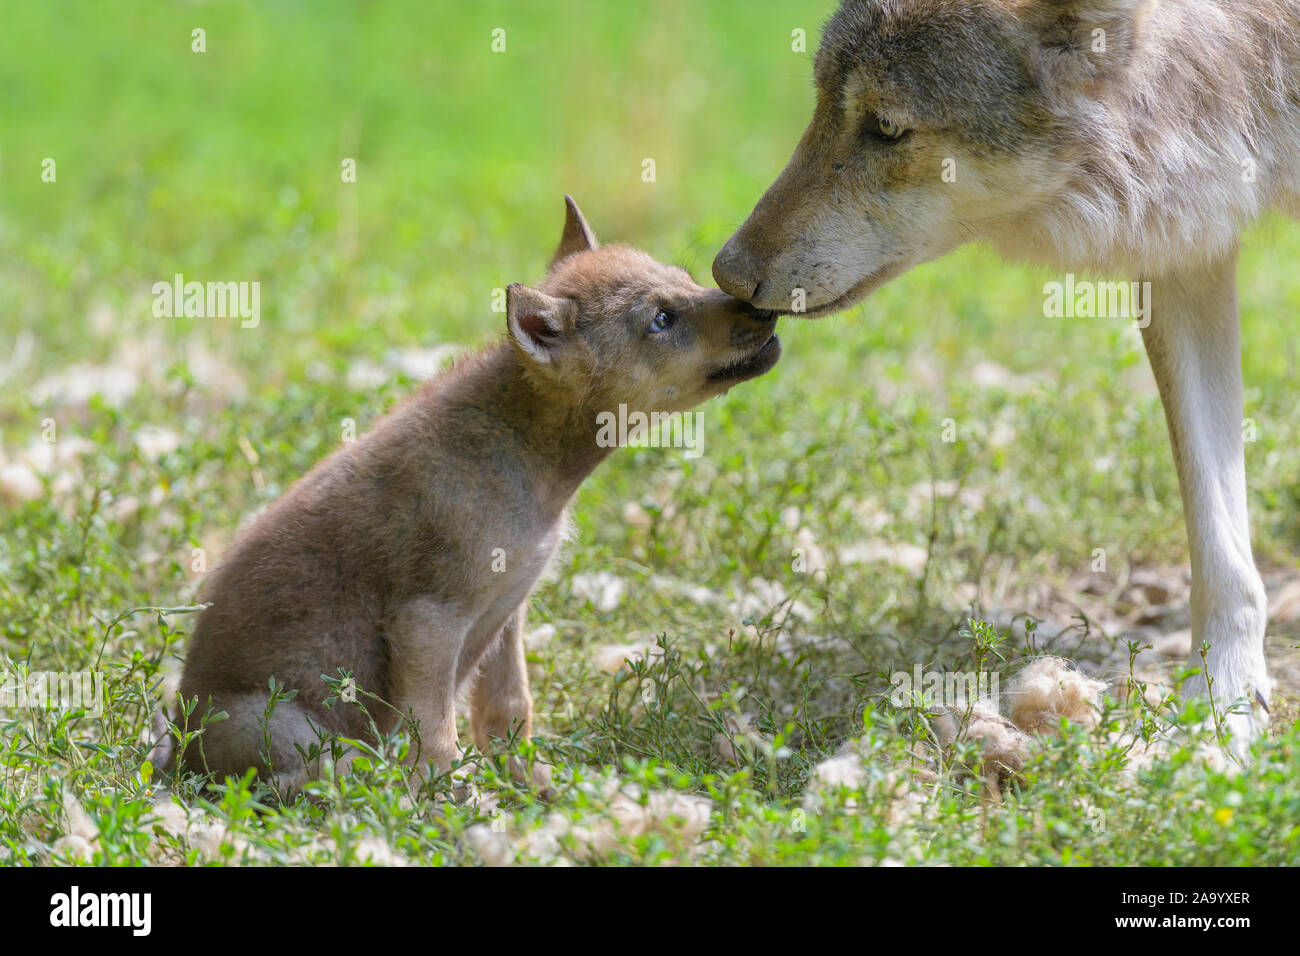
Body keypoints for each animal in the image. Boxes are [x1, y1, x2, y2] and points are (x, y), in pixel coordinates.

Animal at [165, 197, 780, 794]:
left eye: (686, 279)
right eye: (661, 319)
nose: (764, 309)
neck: (530, 459)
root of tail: (175, 752)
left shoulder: (508, 608)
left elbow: (508, 708)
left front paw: (529, 783)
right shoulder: (428, 620)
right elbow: (436, 730)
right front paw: (451, 803)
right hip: (283, 724)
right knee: (301, 778)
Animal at [713, 0, 1300, 750]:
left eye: (887, 128)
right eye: (819, 103)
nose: (727, 273)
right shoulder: (1185, 243)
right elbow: (1216, 531)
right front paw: (1222, 702)